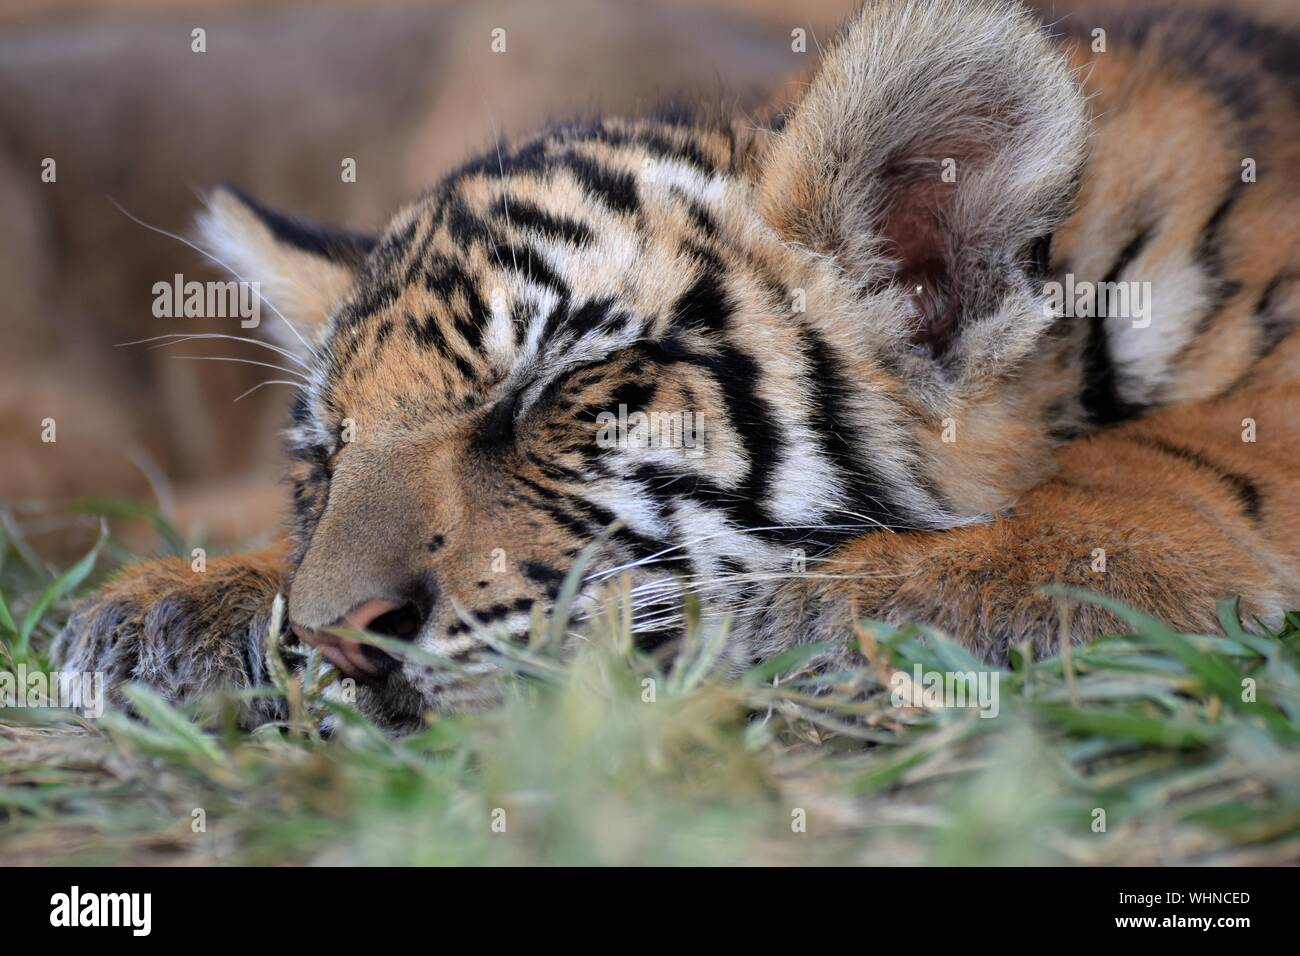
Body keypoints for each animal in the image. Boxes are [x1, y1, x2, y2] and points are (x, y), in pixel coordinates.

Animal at [51, 0, 1300, 731]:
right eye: (325, 454)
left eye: (554, 394)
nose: (328, 638)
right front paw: (183, 598)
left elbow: (1201, 439)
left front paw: (952, 582)